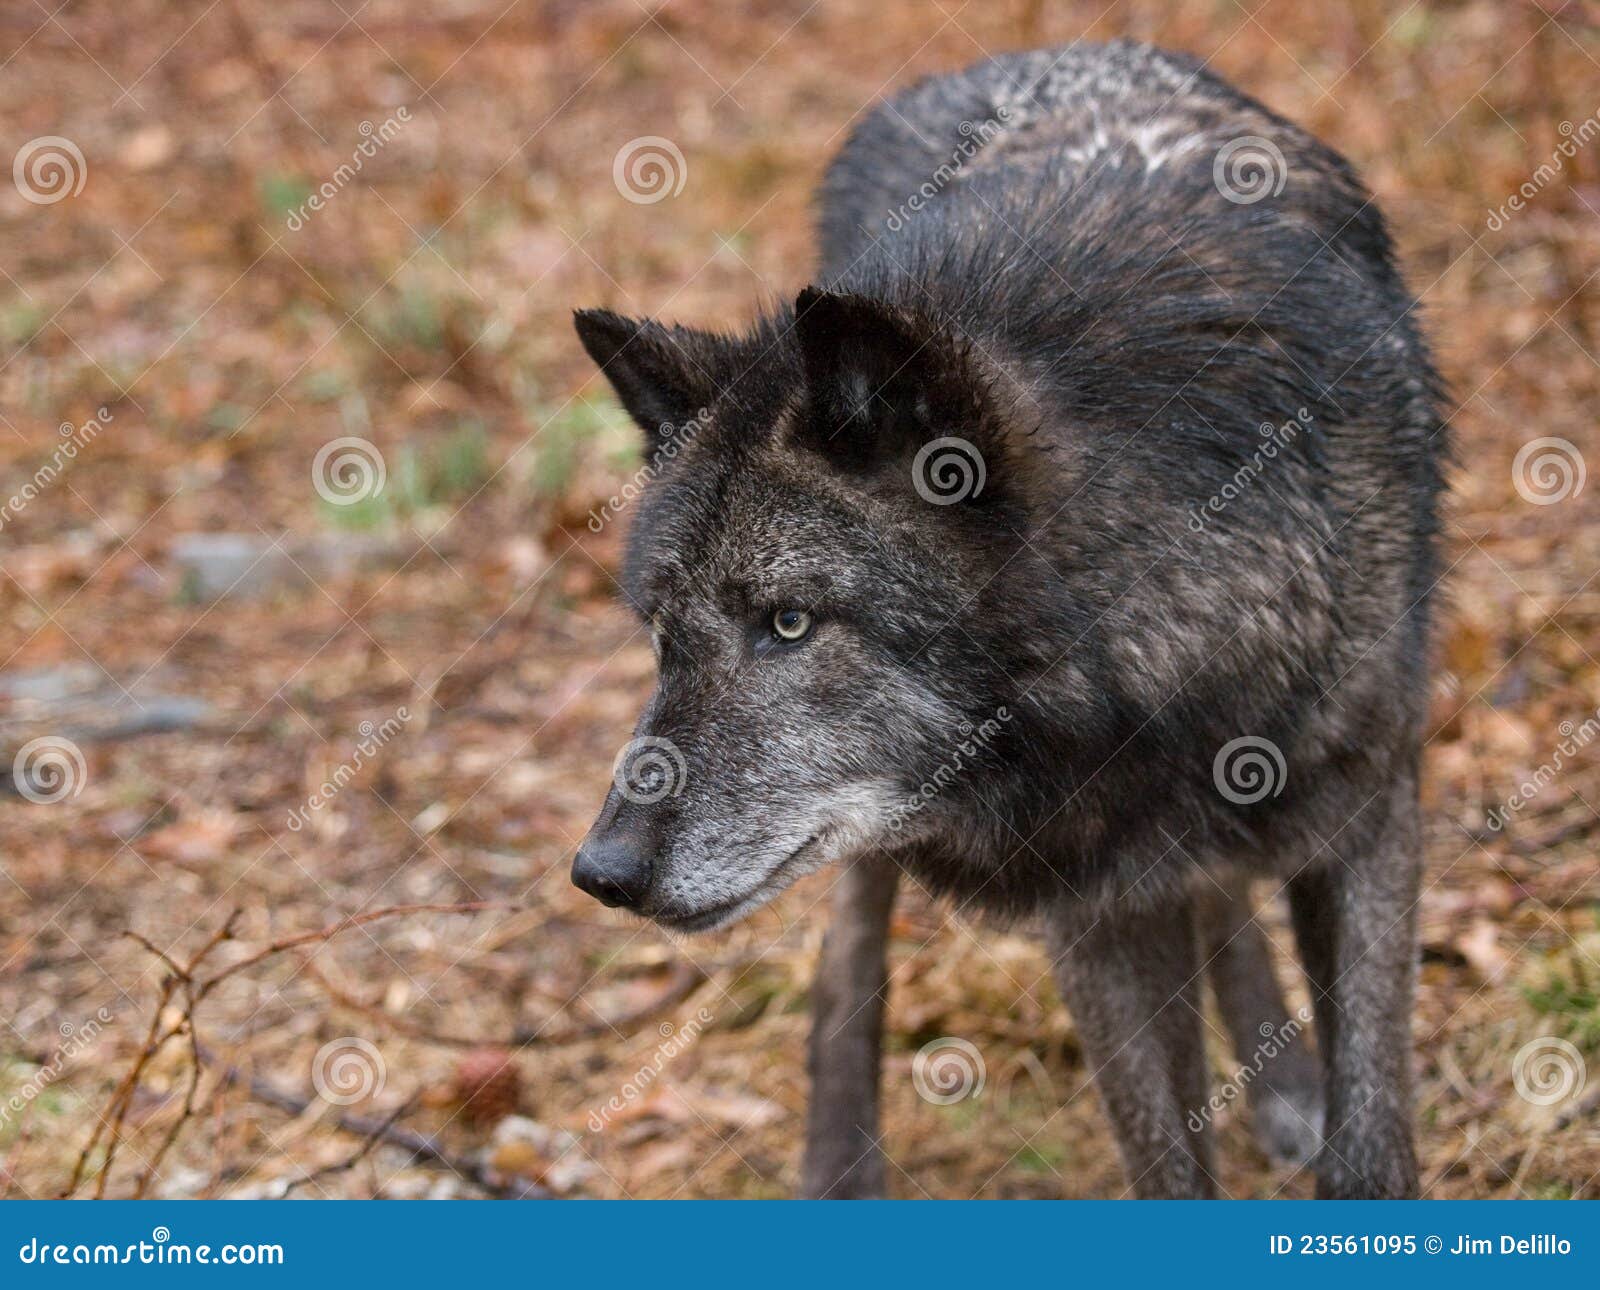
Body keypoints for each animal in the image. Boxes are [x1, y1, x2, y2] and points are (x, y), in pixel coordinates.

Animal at [570, 40, 1444, 1199]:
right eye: (662, 634)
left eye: (788, 622)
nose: (600, 872)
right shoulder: (1093, 913)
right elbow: (1166, 1162)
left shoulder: (1369, 809)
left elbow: (1372, 1131)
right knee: (851, 945)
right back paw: (840, 1161)